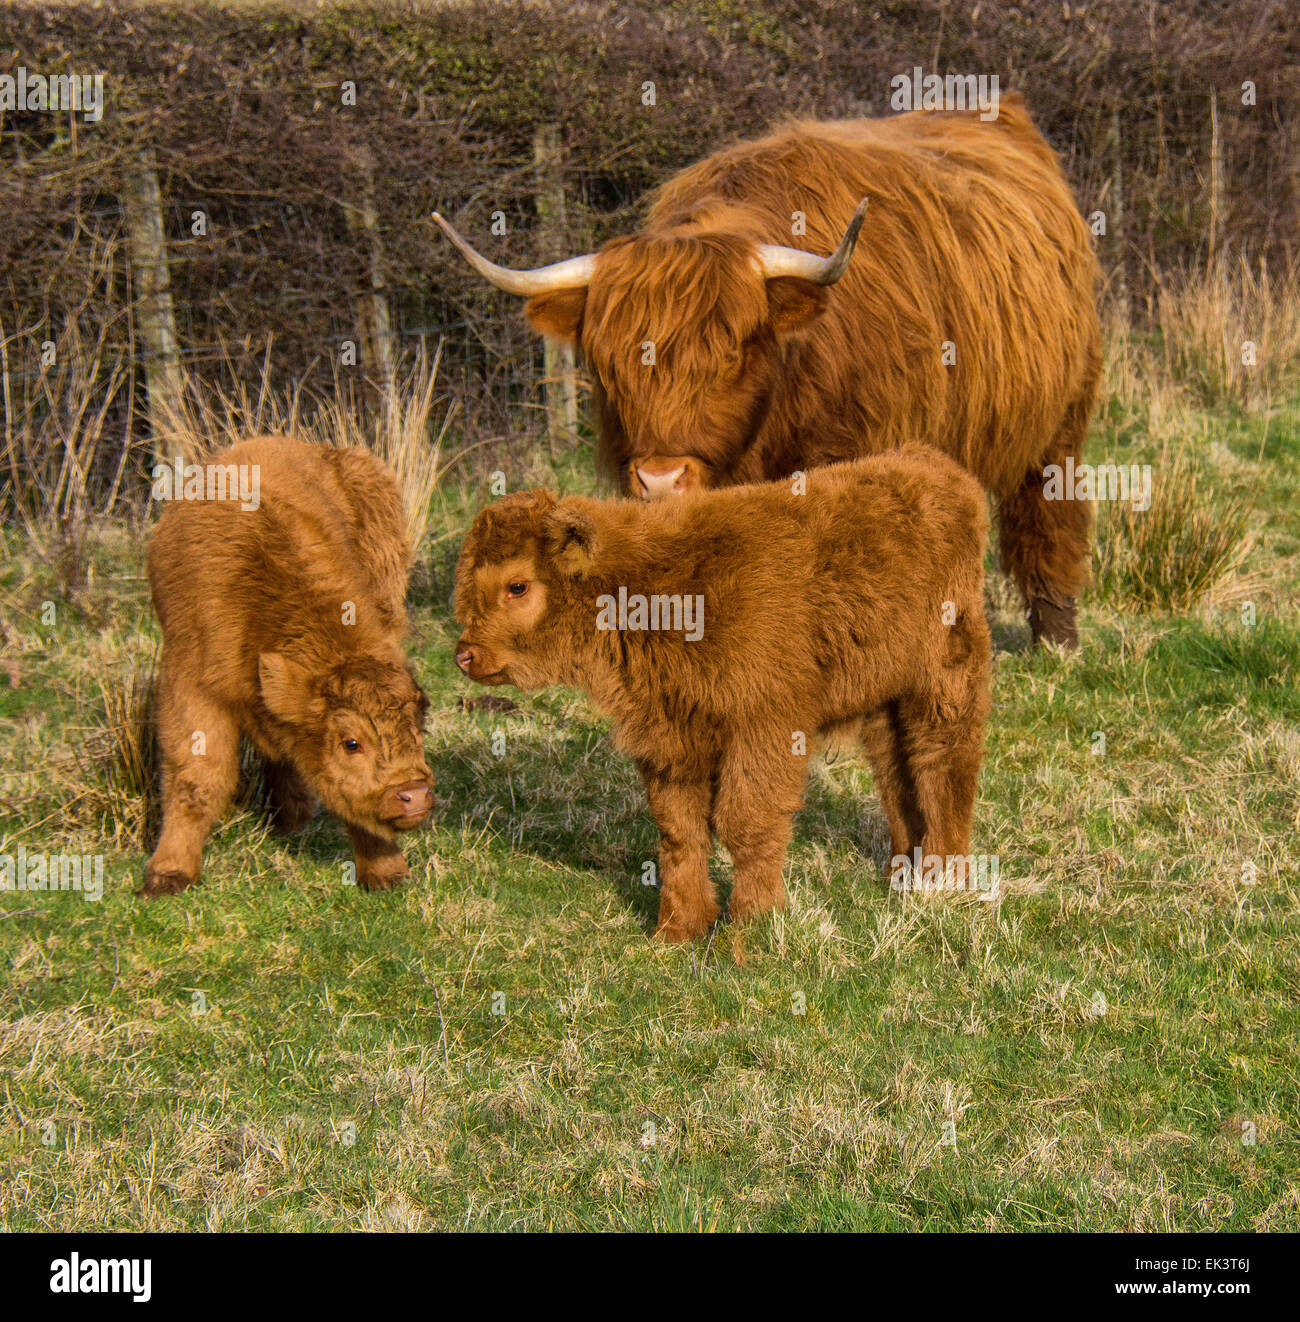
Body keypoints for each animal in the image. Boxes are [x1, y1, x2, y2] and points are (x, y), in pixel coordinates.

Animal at [142, 436, 435, 896]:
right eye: (351, 742)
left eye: (418, 727)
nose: (414, 795)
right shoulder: (189, 685)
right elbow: (196, 778)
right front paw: (168, 874)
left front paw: (386, 872)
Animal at [434, 94, 1101, 648]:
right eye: (607, 361)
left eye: (732, 352)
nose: (660, 479)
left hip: (1060, 424)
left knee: (1047, 518)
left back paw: (1056, 639)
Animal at [453, 446, 991, 942]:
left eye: (517, 586)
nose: (464, 654)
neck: (656, 589)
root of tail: (938, 468)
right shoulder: (670, 738)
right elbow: (680, 832)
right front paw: (677, 930)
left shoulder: (762, 728)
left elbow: (745, 823)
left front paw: (752, 927)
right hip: (884, 698)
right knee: (897, 778)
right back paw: (901, 876)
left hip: (945, 681)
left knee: (943, 765)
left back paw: (944, 883)